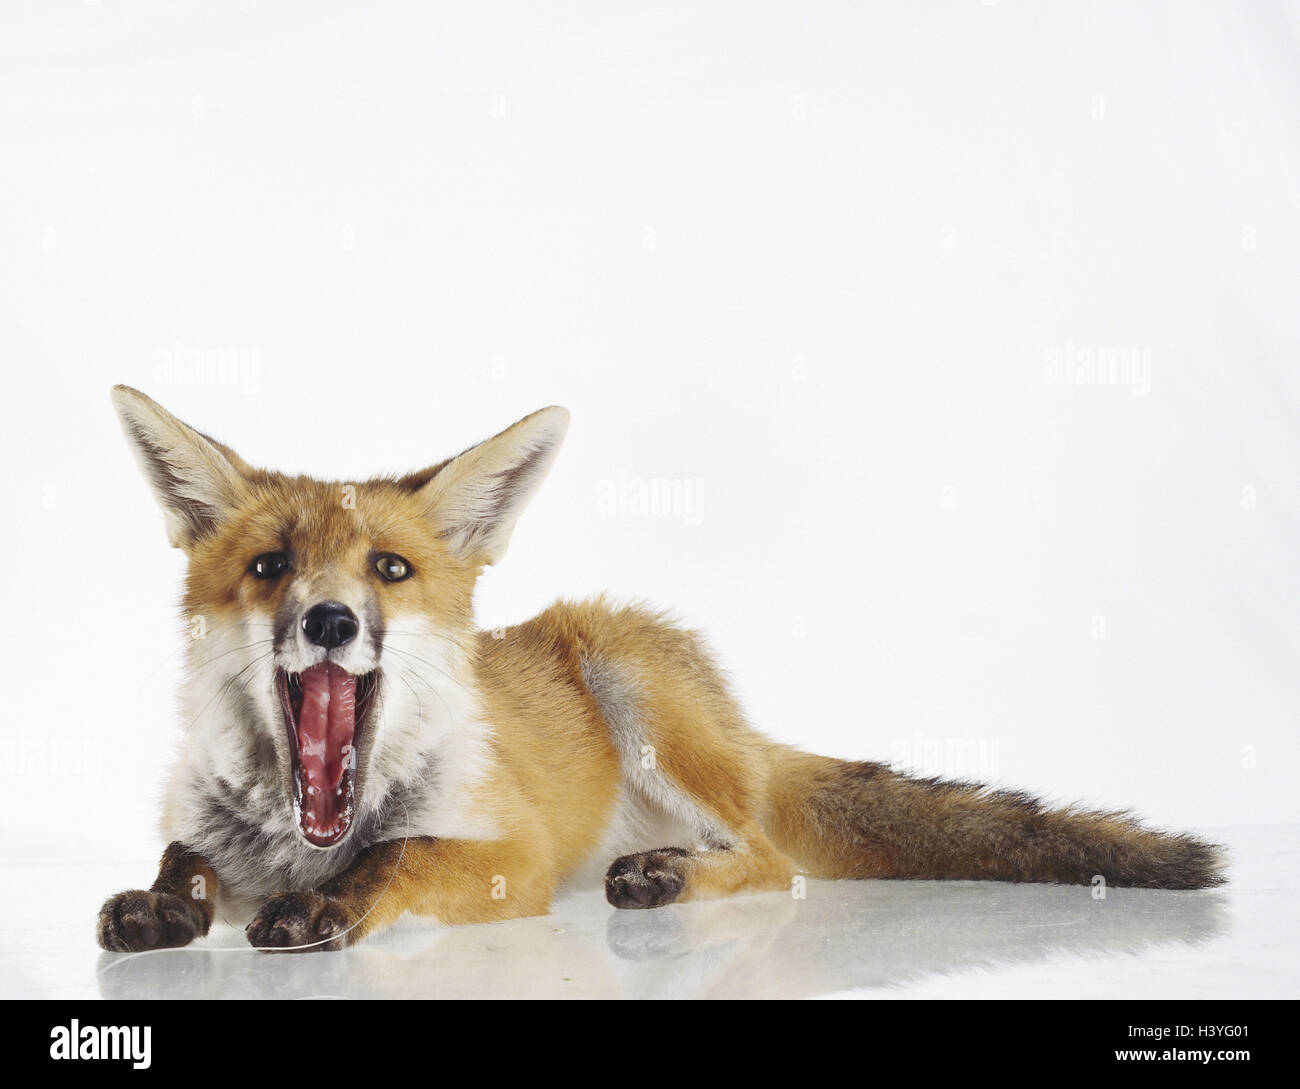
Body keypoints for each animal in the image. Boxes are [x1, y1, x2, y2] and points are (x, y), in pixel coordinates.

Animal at [98, 385, 1225, 953]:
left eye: (389, 569)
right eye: (269, 567)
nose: (329, 619)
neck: (304, 839)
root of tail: (741, 725)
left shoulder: (513, 857)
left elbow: (399, 854)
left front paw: (325, 905)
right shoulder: (203, 823)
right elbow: (184, 858)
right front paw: (168, 904)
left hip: (634, 679)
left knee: (769, 855)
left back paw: (669, 877)